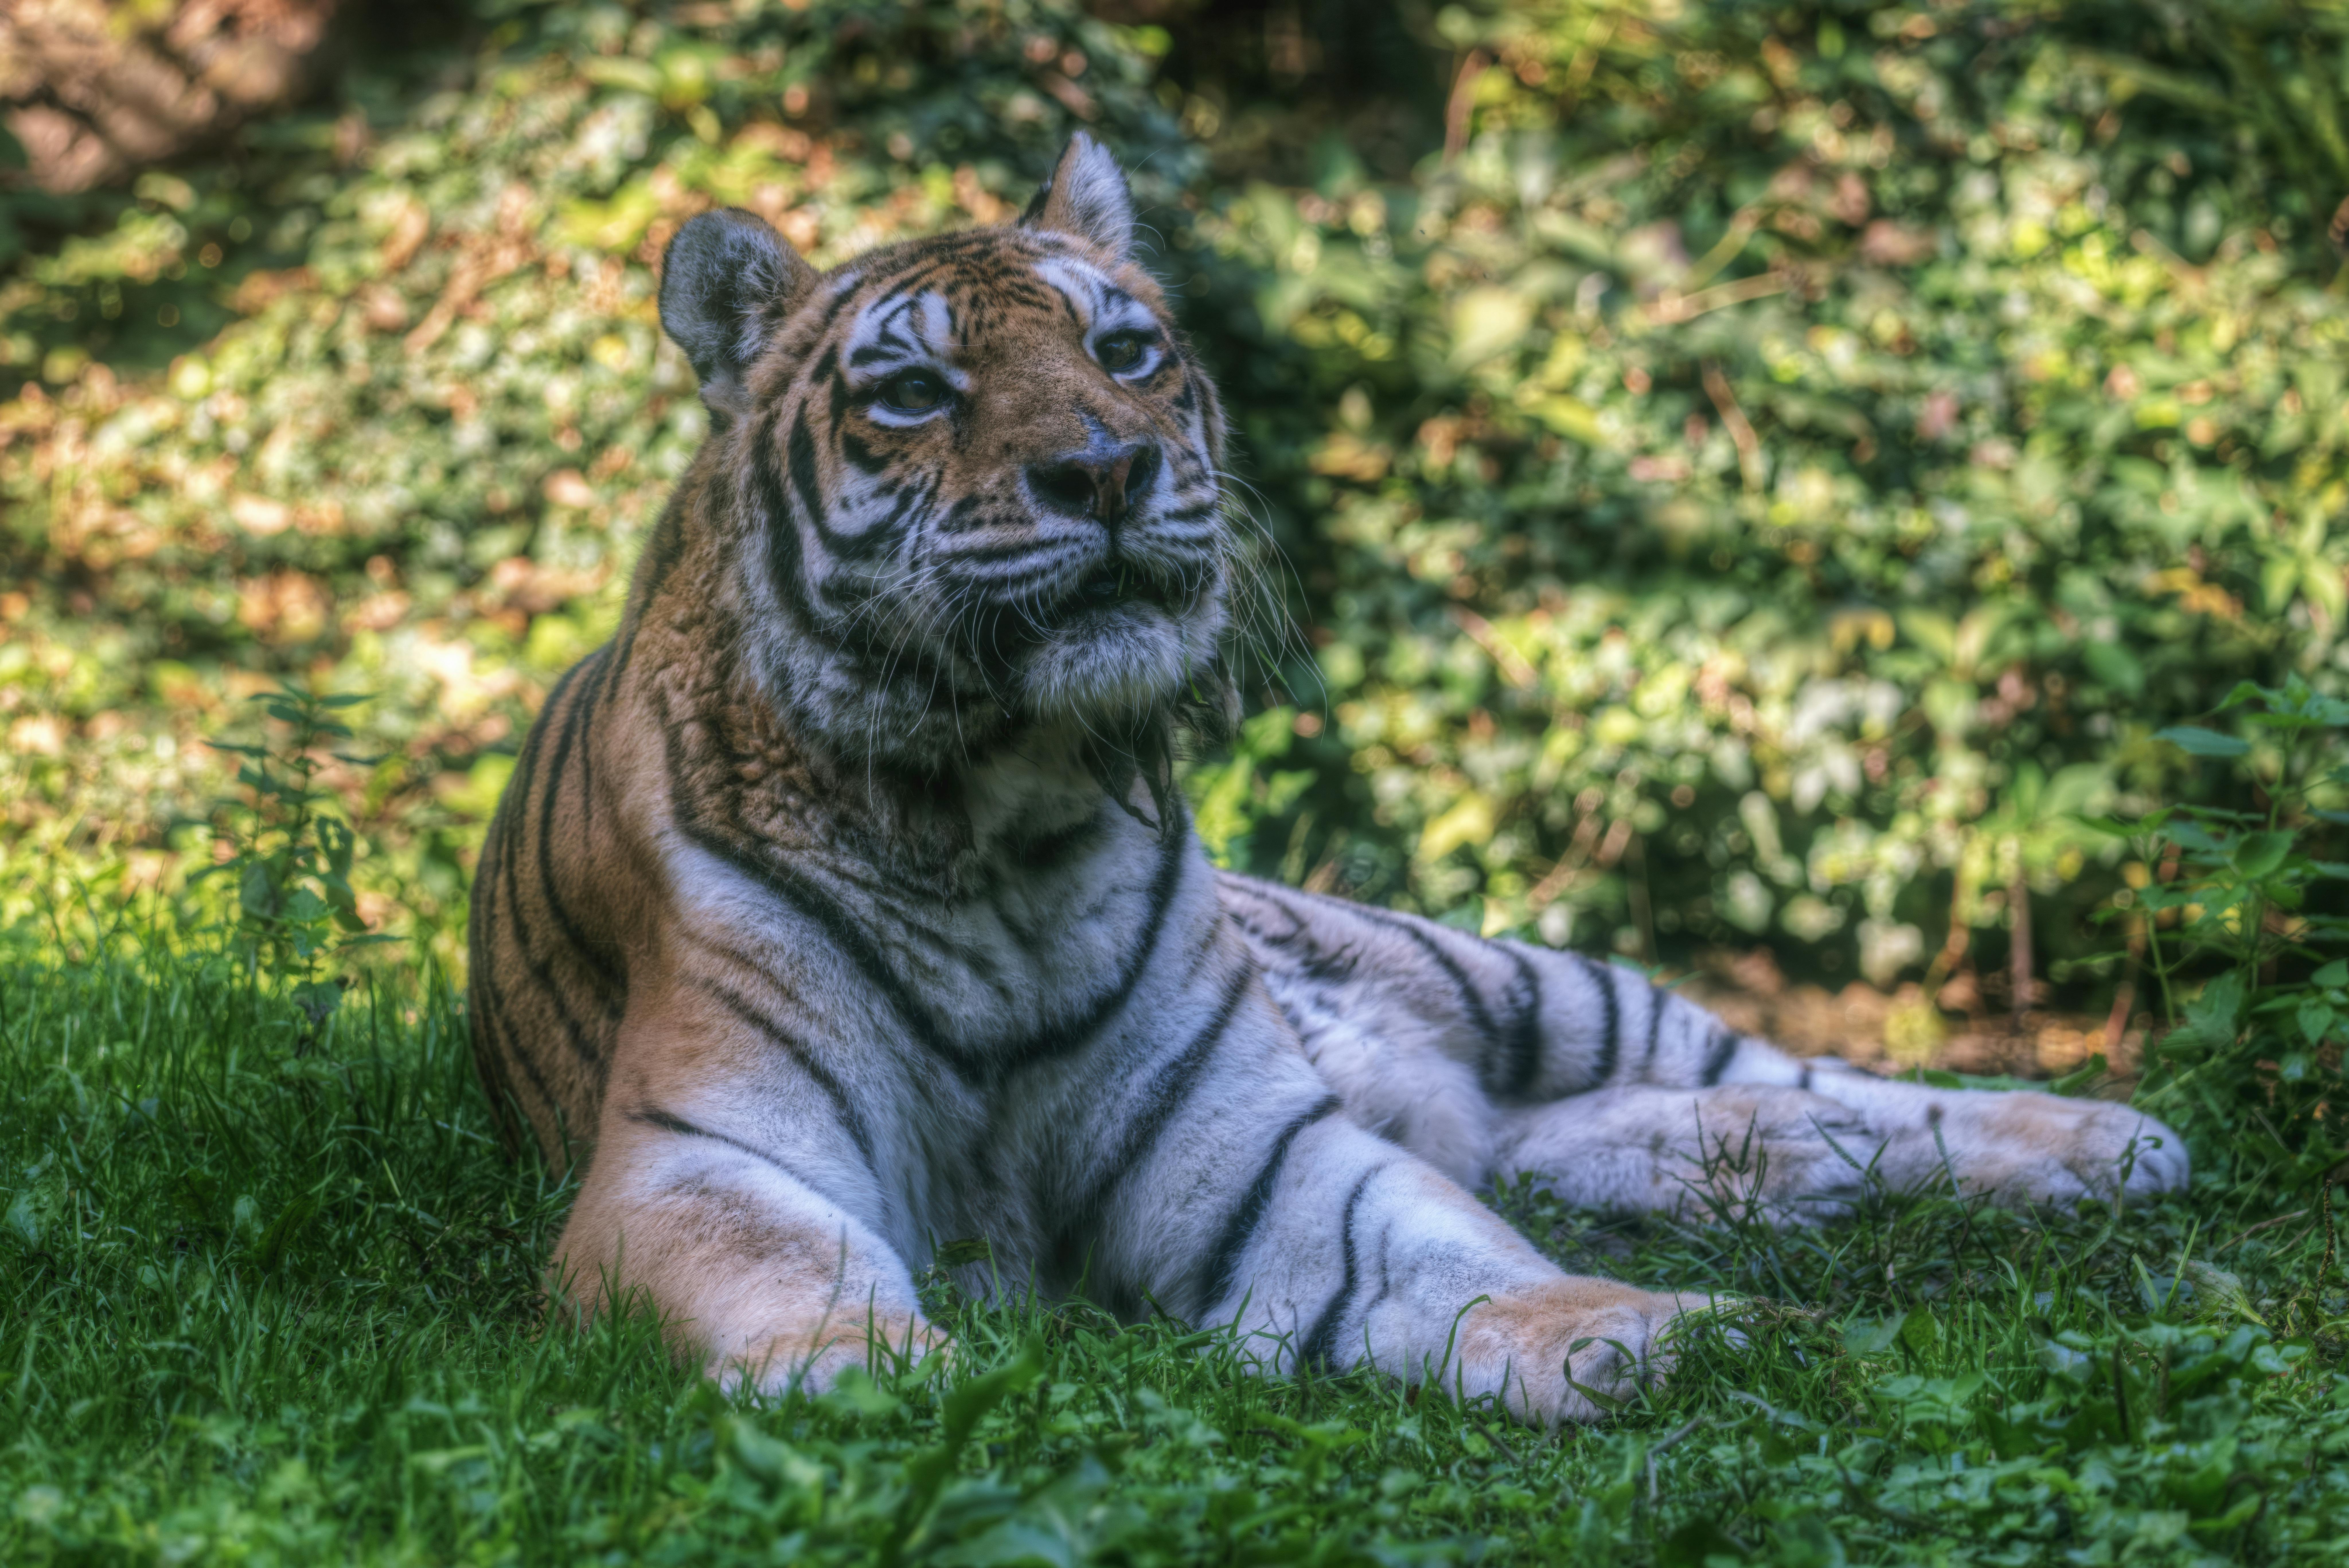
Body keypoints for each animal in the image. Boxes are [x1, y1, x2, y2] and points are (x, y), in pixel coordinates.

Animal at [467, 132, 2189, 1426]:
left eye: (1124, 352)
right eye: (913, 394)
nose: (1105, 468)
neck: (1006, 816)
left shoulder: (1258, 1151)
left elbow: (1451, 1255)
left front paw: (1660, 1334)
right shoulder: (697, 1158)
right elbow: (793, 1286)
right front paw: (891, 1383)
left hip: (1524, 977)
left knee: (1806, 1071)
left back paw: (2100, 1142)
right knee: (1592, 1132)